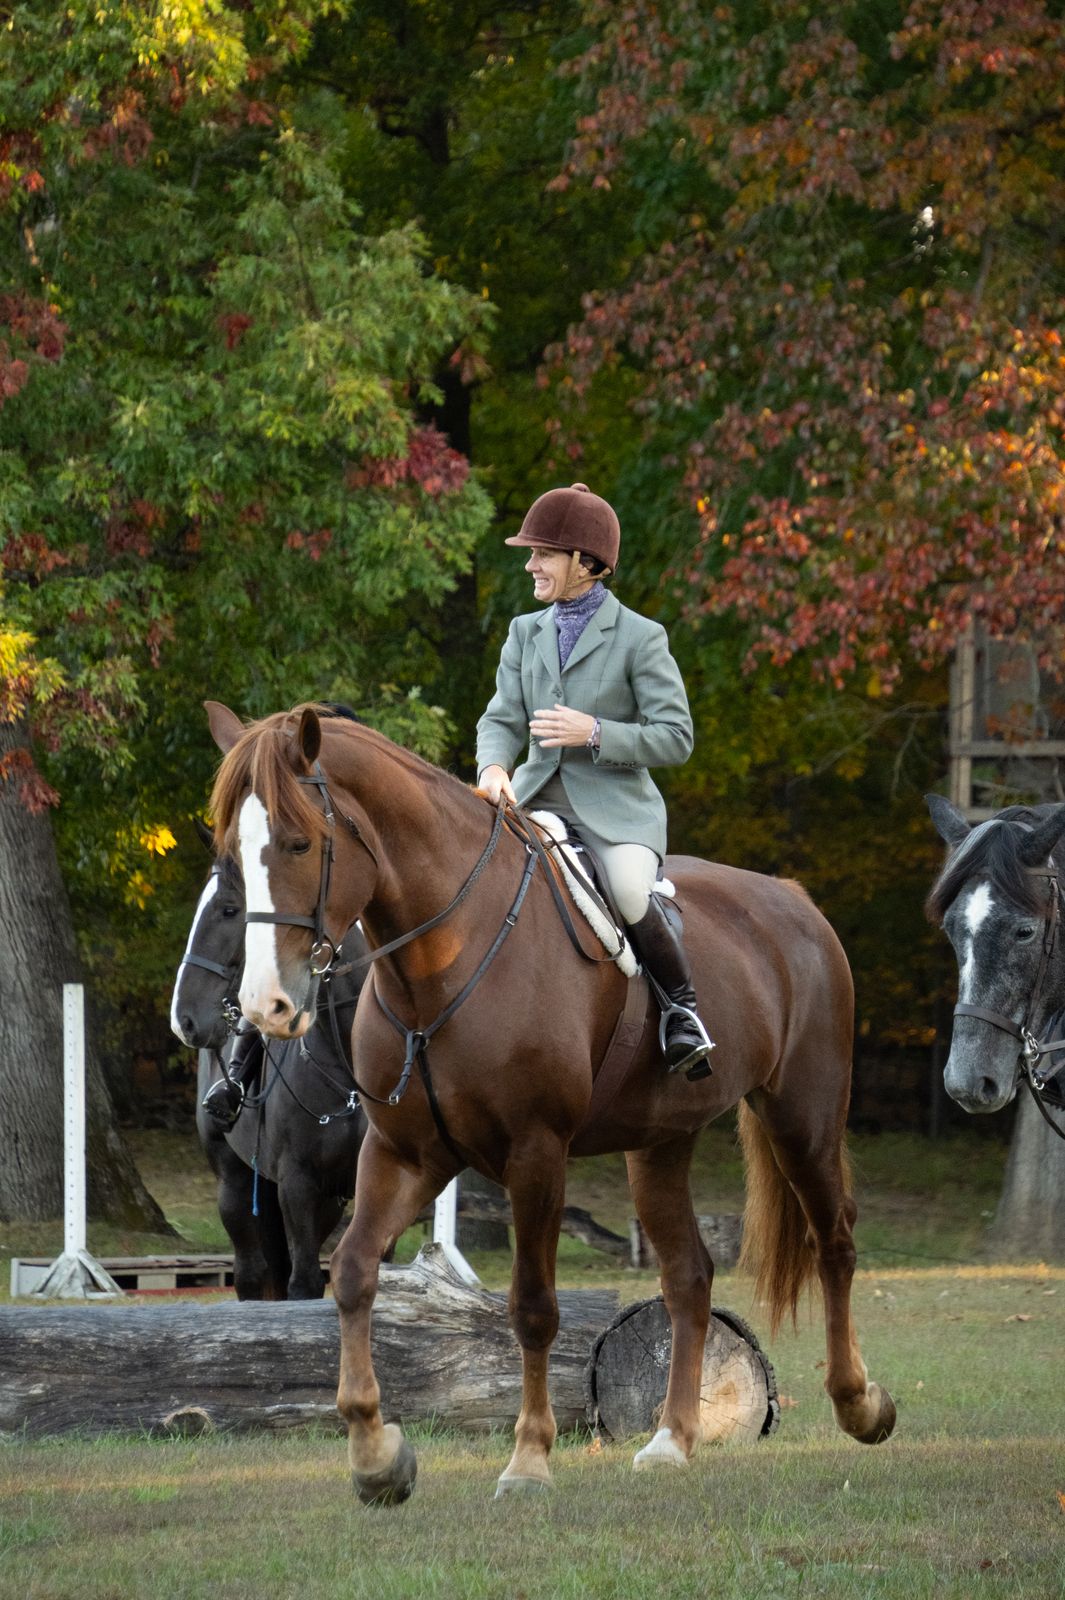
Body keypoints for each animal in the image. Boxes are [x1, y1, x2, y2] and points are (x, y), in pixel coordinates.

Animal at [171, 842, 370, 1299]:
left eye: (229, 909)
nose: (184, 1019)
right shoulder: (298, 1185)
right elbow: (304, 1284)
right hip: (235, 1183)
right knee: (253, 1273)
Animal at [206, 699, 896, 1503]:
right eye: (230, 858)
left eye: (298, 843)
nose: (266, 1007)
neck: (443, 955)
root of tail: (793, 898)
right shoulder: (402, 1154)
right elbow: (349, 1276)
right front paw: (377, 1458)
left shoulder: (535, 1153)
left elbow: (532, 1306)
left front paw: (529, 1459)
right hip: (658, 1144)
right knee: (689, 1276)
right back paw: (671, 1439)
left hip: (802, 1118)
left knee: (835, 1242)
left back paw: (859, 1405)